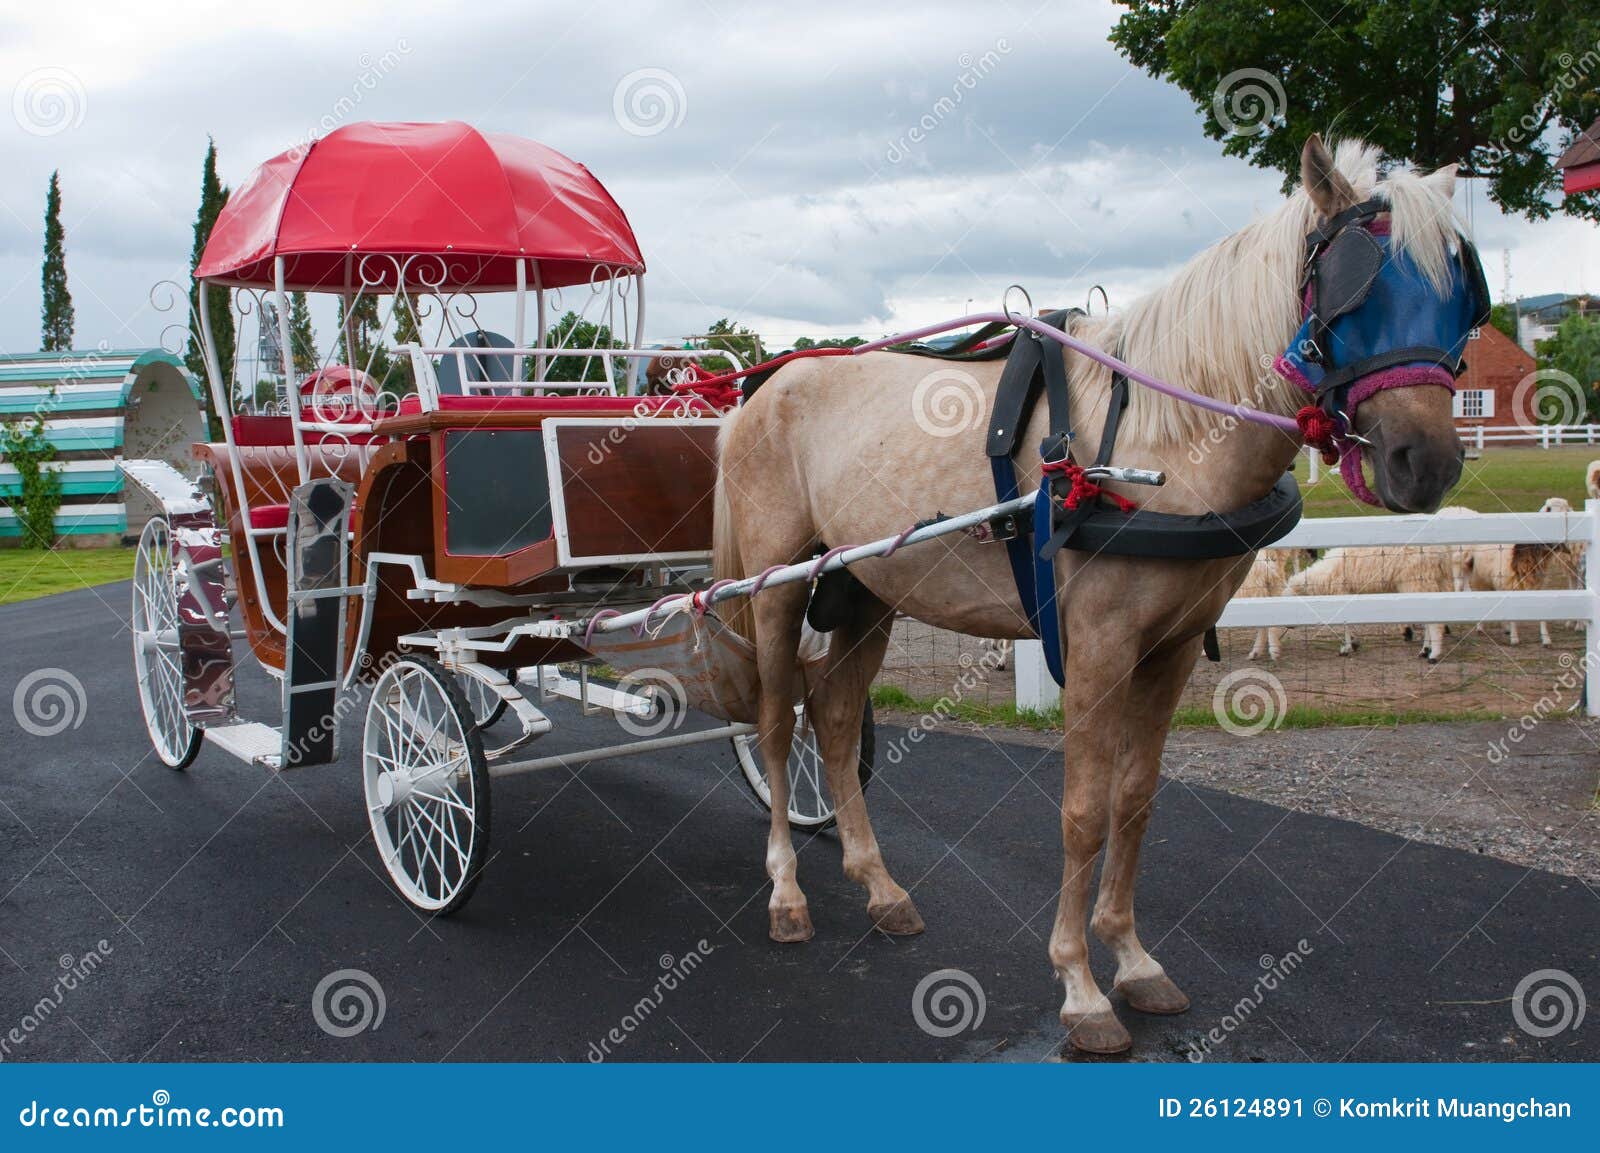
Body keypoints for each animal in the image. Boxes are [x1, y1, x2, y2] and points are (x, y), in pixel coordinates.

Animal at [711, 135, 1467, 1054]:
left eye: (1458, 294)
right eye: (1354, 288)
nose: (1426, 463)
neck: (1161, 441)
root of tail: (761, 391)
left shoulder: (1170, 649)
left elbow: (1135, 799)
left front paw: (1132, 960)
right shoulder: (1099, 646)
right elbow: (1082, 811)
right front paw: (1079, 987)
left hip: (866, 590)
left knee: (834, 713)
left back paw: (879, 885)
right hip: (777, 586)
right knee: (776, 725)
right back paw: (788, 892)